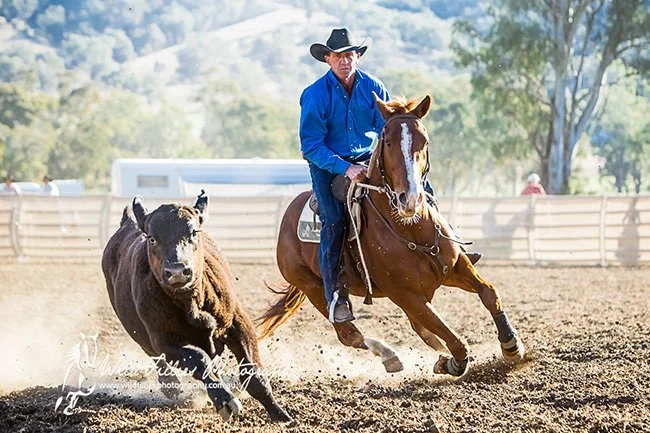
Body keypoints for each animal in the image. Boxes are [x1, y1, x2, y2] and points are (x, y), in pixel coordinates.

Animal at [101, 192, 291, 422]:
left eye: (193, 233)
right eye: (152, 238)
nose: (176, 271)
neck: (193, 305)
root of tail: (127, 223)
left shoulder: (239, 324)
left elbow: (253, 374)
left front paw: (281, 415)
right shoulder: (165, 341)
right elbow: (198, 359)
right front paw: (225, 400)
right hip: (140, 335)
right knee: (158, 359)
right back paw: (172, 386)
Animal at [258, 95, 525, 377]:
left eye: (425, 141)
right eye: (387, 142)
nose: (410, 199)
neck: (411, 230)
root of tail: (287, 219)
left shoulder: (455, 268)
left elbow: (489, 293)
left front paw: (511, 346)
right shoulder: (407, 295)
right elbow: (455, 340)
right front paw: (451, 362)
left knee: (417, 329)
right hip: (313, 288)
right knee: (349, 334)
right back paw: (390, 356)